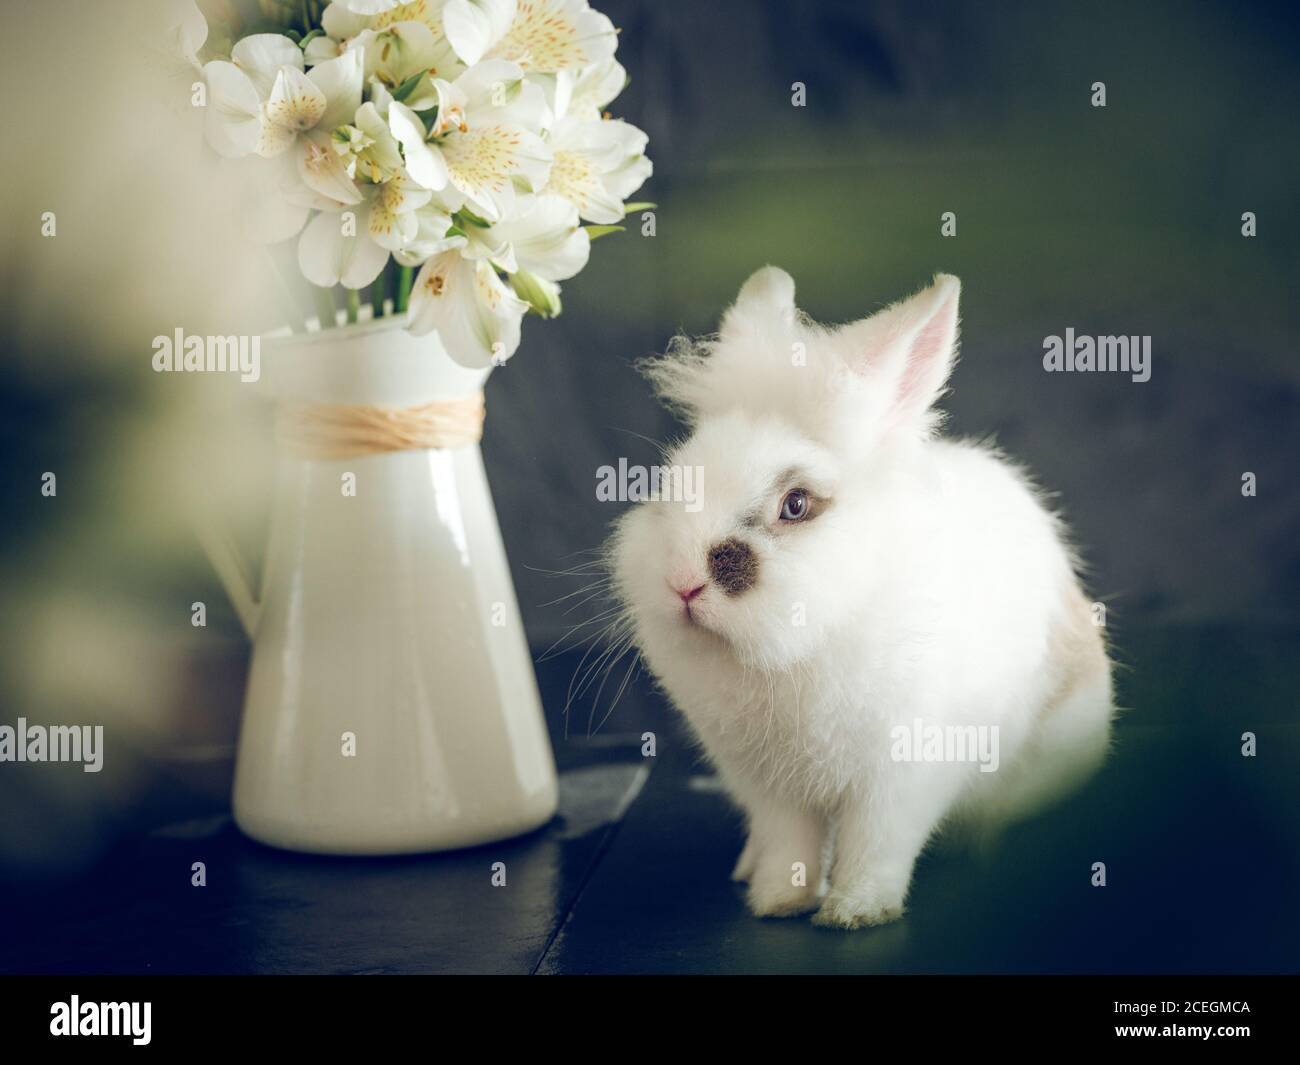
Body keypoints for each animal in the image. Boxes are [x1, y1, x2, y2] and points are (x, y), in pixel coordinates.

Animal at [607, 266, 1114, 929]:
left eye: (796, 504)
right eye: (670, 483)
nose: (683, 583)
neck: (798, 649)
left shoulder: (901, 777)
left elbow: (878, 844)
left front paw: (855, 911)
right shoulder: (770, 791)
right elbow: (790, 844)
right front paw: (778, 902)